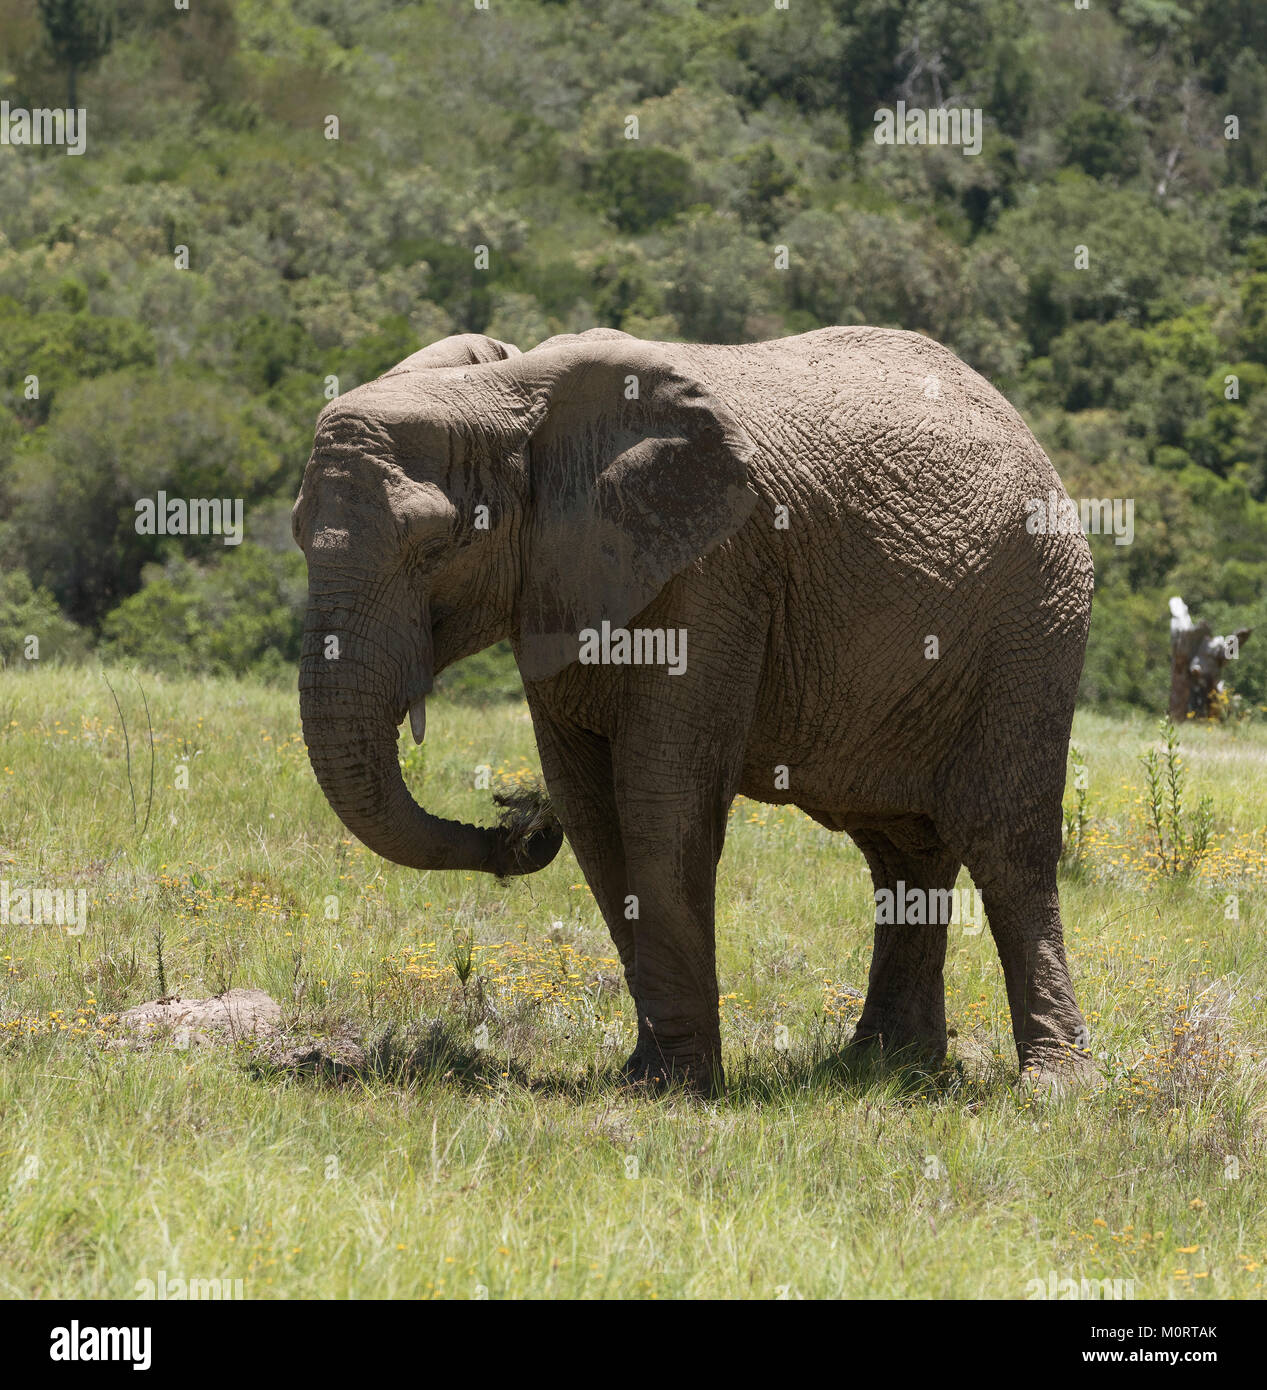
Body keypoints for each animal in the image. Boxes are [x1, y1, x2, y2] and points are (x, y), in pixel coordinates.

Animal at [292, 325, 1094, 1095]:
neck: (510, 396)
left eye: (434, 548)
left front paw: (675, 1086)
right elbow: (594, 816)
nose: (518, 822)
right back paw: (882, 1069)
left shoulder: (713, 573)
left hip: (1032, 623)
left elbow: (660, 801)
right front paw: (646, 1073)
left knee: (1005, 841)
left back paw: (1050, 1086)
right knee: (899, 852)